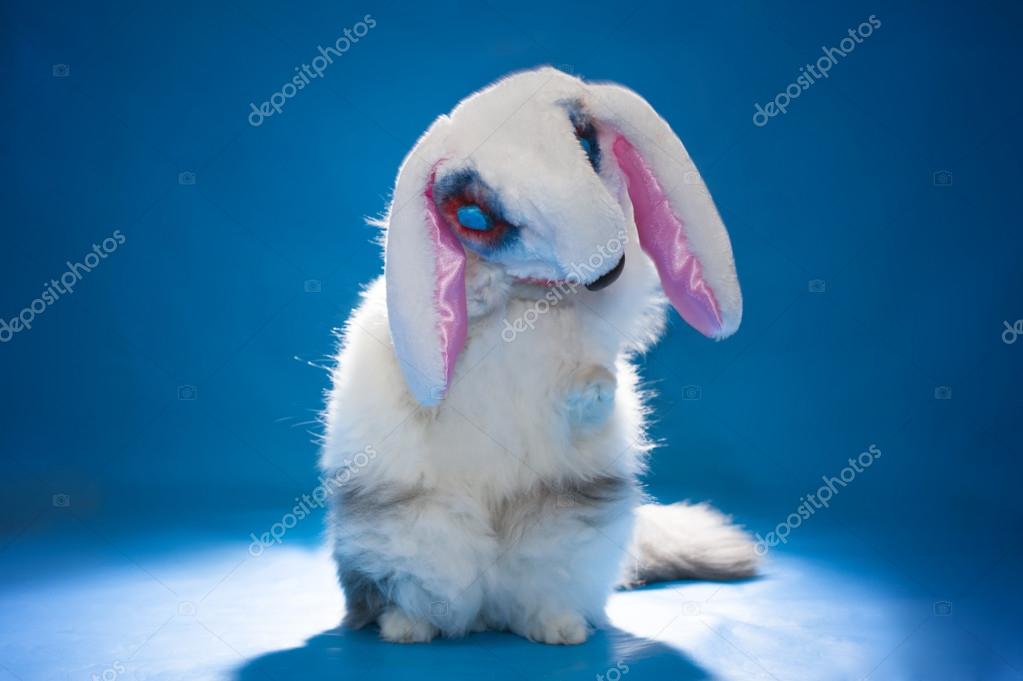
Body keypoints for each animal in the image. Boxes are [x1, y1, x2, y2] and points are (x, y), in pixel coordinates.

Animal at [320, 66, 757, 645]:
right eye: (474, 216)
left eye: (588, 145)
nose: (608, 268)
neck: (529, 299)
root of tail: (484, 610)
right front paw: (476, 292)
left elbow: (587, 388)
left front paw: (597, 386)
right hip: (409, 532)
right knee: (415, 594)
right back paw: (408, 629)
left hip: (565, 527)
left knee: (532, 597)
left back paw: (560, 629)